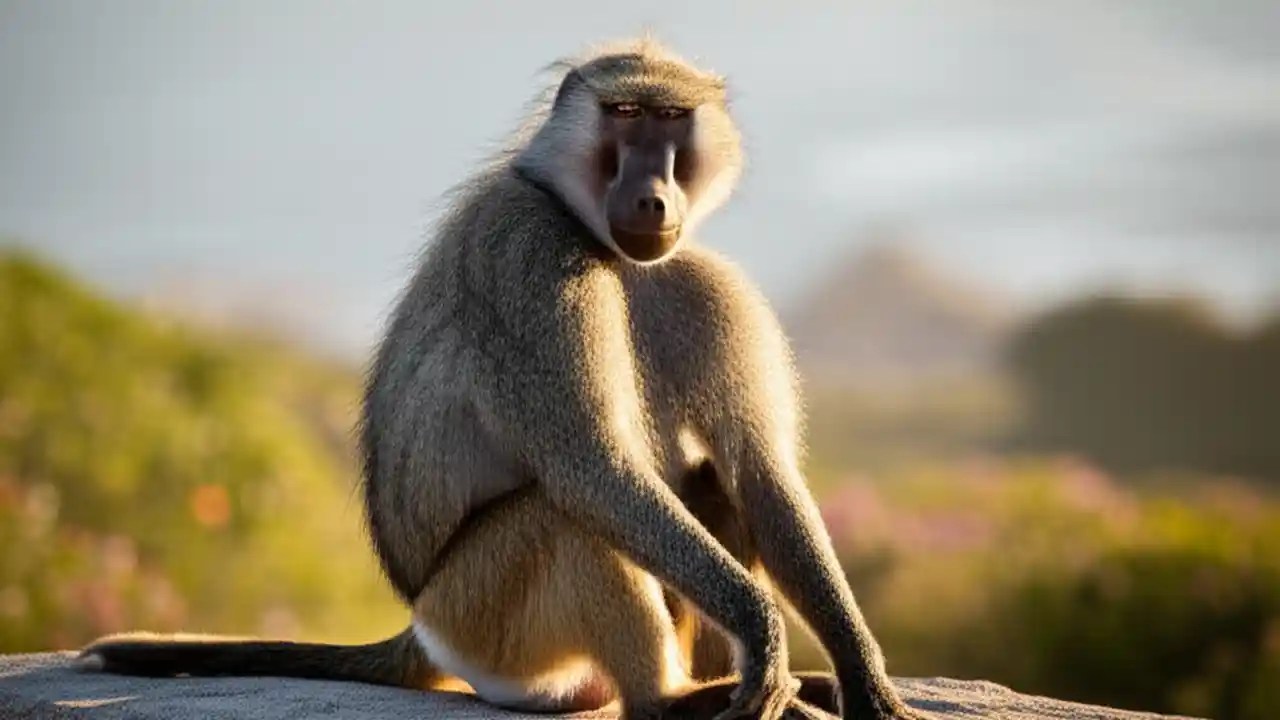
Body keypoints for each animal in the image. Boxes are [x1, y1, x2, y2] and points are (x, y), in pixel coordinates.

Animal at [77, 38, 922, 720]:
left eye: (671, 120)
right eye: (623, 115)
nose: (653, 196)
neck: (595, 236)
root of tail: (418, 629)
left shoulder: (708, 286)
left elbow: (761, 475)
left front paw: (863, 679)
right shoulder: (529, 261)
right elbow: (591, 469)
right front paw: (762, 632)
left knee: (715, 485)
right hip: (482, 622)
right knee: (566, 514)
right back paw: (672, 700)